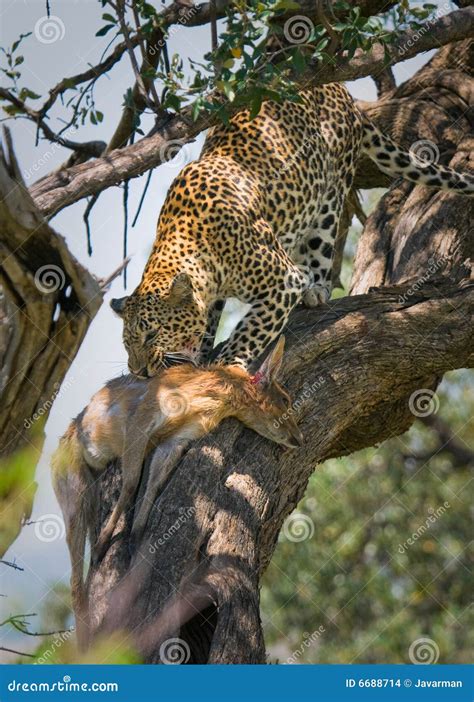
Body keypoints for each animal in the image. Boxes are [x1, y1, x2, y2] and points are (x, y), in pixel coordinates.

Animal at [111, 83, 474, 375]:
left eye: (152, 333)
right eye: (127, 342)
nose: (139, 372)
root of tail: (339, 89)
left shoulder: (282, 283)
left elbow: (250, 330)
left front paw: (227, 365)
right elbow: (209, 321)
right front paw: (201, 352)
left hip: (330, 193)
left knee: (322, 242)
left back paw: (317, 289)